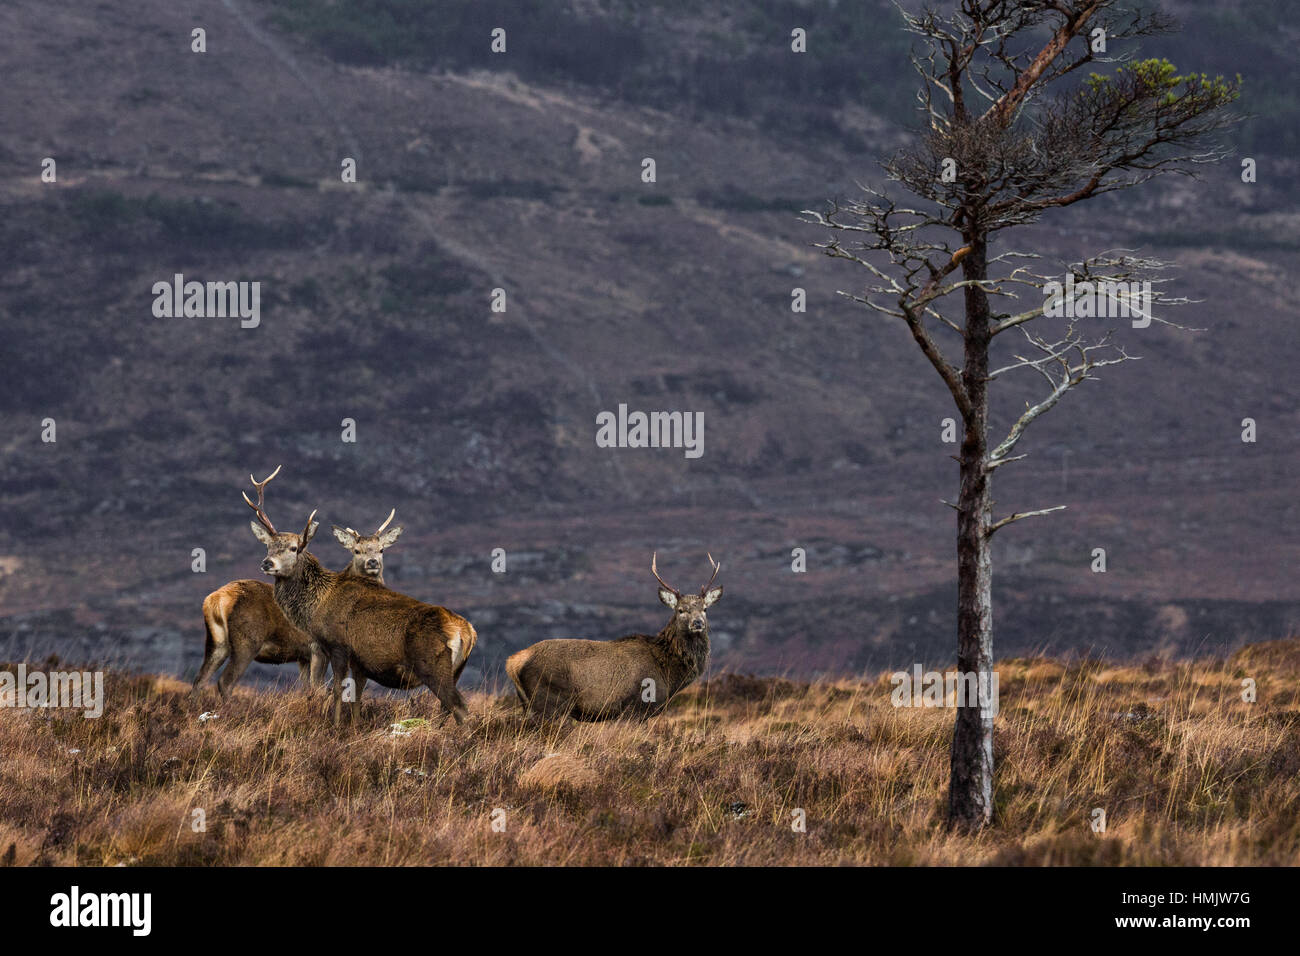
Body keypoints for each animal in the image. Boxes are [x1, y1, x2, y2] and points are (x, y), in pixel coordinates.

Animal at [244, 468, 477, 727]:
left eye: (295, 548)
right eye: (268, 547)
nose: (267, 563)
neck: (317, 607)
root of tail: (466, 632)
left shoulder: (338, 645)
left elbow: (337, 690)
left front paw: (335, 726)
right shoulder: (360, 660)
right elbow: (356, 695)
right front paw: (354, 726)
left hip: (433, 666)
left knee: (459, 706)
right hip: (457, 670)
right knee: (449, 708)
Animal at [505, 553, 722, 721]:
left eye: (704, 609)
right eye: (680, 610)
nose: (698, 623)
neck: (668, 673)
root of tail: (513, 662)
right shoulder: (635, 707)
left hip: (528, 704)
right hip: (548, 704)